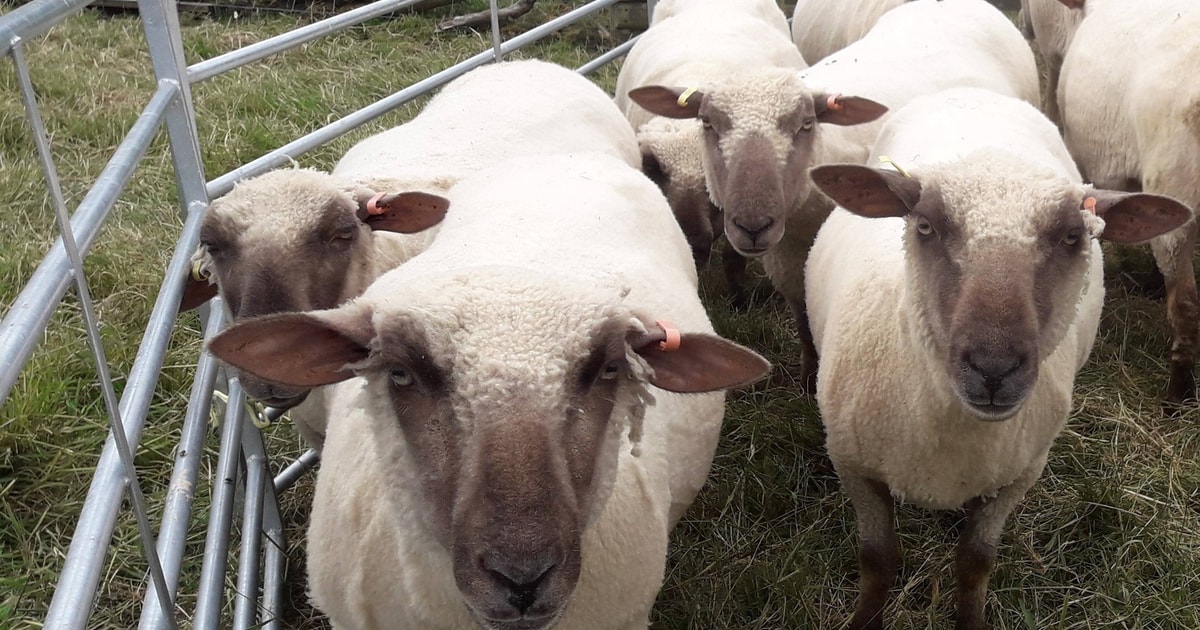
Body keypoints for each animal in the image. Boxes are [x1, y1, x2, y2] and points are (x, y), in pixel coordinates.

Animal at [630, 0, 1037, 390]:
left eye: (806, 124)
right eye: (707, 122)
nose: (752, 225)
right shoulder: (793, 266)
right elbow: (804, 319)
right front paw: (809, 377)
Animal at [804, 87, 1193, 630]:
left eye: (1073, 237)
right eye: (925, 225)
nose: (993, 369)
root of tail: (971, 92)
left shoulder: (1015, 478)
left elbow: (975, 565)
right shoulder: (853, 465)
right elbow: (877, 561)